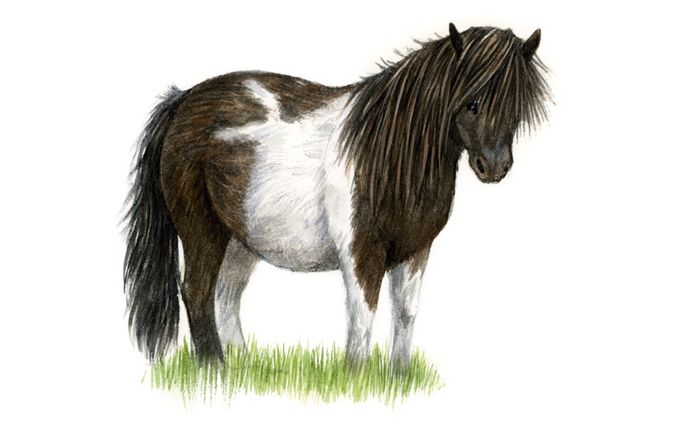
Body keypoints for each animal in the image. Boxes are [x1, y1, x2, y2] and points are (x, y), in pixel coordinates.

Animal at [123, 23, 550, 365]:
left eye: (516, 102)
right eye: (471, 101)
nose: (494, 166)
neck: (385, 153)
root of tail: (182, 101)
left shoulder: (415, 252)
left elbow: (405, 315)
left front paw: (398, 378)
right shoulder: (361, 254)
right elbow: (362, 320)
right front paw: (355, 381)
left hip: (239, 242)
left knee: (224, 298)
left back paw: (241, 368)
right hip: (203, 232)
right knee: (197, 293)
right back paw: (214, 370)